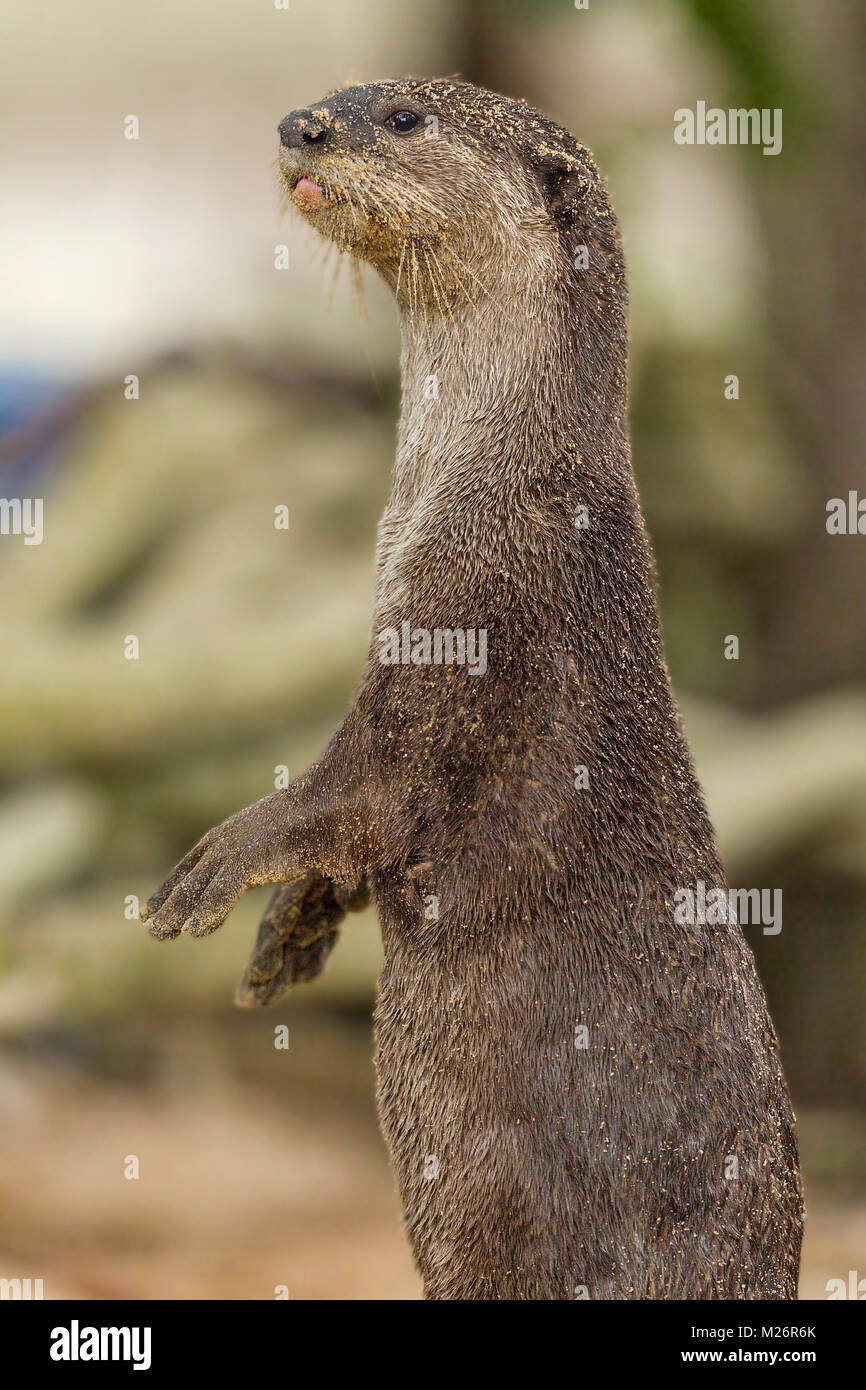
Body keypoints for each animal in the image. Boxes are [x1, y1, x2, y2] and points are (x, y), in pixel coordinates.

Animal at [142, 79, 803, 1300]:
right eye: (342, 96)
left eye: (404, 118)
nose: (302, 126)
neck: (492, 486)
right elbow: (344, 843)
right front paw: (288, 939)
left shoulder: (467, 632)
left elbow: (347, 795)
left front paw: (217, 864)